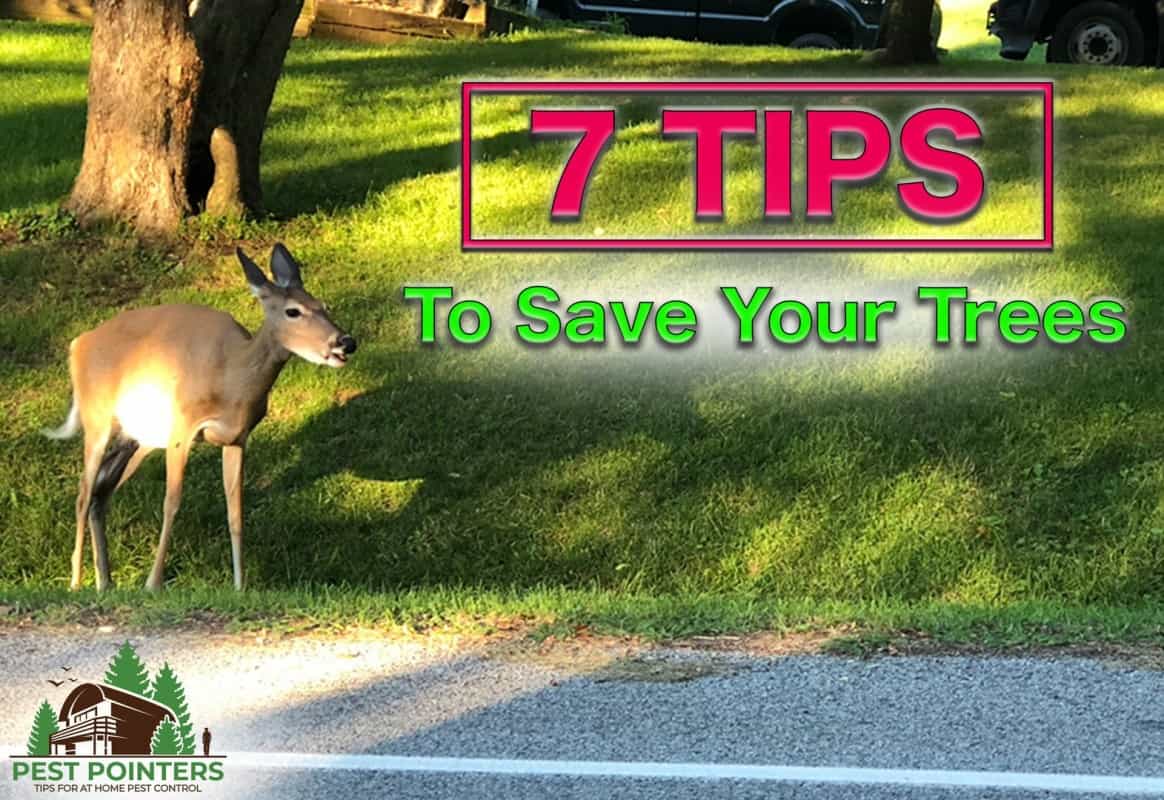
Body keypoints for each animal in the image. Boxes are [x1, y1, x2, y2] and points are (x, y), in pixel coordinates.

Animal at [43, 243, 357, 593]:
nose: (345, 342)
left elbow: (235, 512)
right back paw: (76, 581)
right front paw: (153, 583)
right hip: (97, 417)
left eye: (323, 305)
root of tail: (76, 344)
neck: (232, 379)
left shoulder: (237, 437)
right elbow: (172, 501)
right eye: (293, 311)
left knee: (100, 491)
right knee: (84, 492)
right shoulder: (182, 426)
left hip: (136, 438)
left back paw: (105, 582)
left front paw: (240, 587)